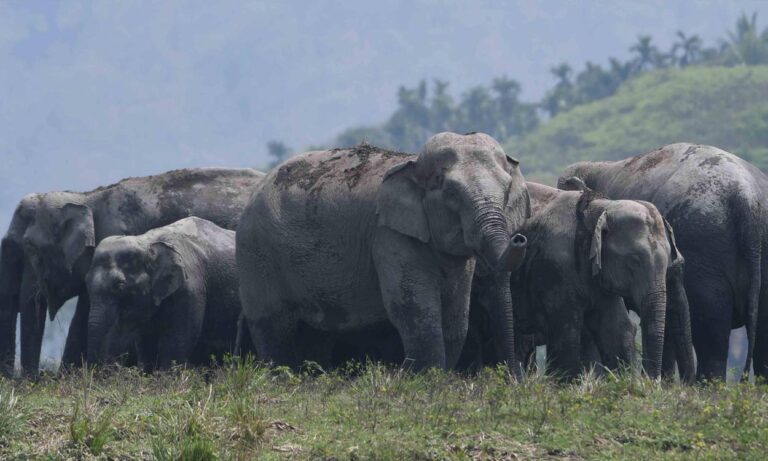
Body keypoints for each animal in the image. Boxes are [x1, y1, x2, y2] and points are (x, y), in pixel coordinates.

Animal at [85, 217, 247, 370]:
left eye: (120, 285)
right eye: (87, 280)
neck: (146, 242)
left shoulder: (190, 290)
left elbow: (175, 343)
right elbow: (146, 344)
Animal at [237, 133, 530, 372]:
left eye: (507, 190)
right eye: (451, 192)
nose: (519, 239)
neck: (412, 164)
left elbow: (456, 319)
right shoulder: (388, 236)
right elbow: (414, 310)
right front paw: (427, 381)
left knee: (316, 334)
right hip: (257, 254)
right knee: (273, 328)